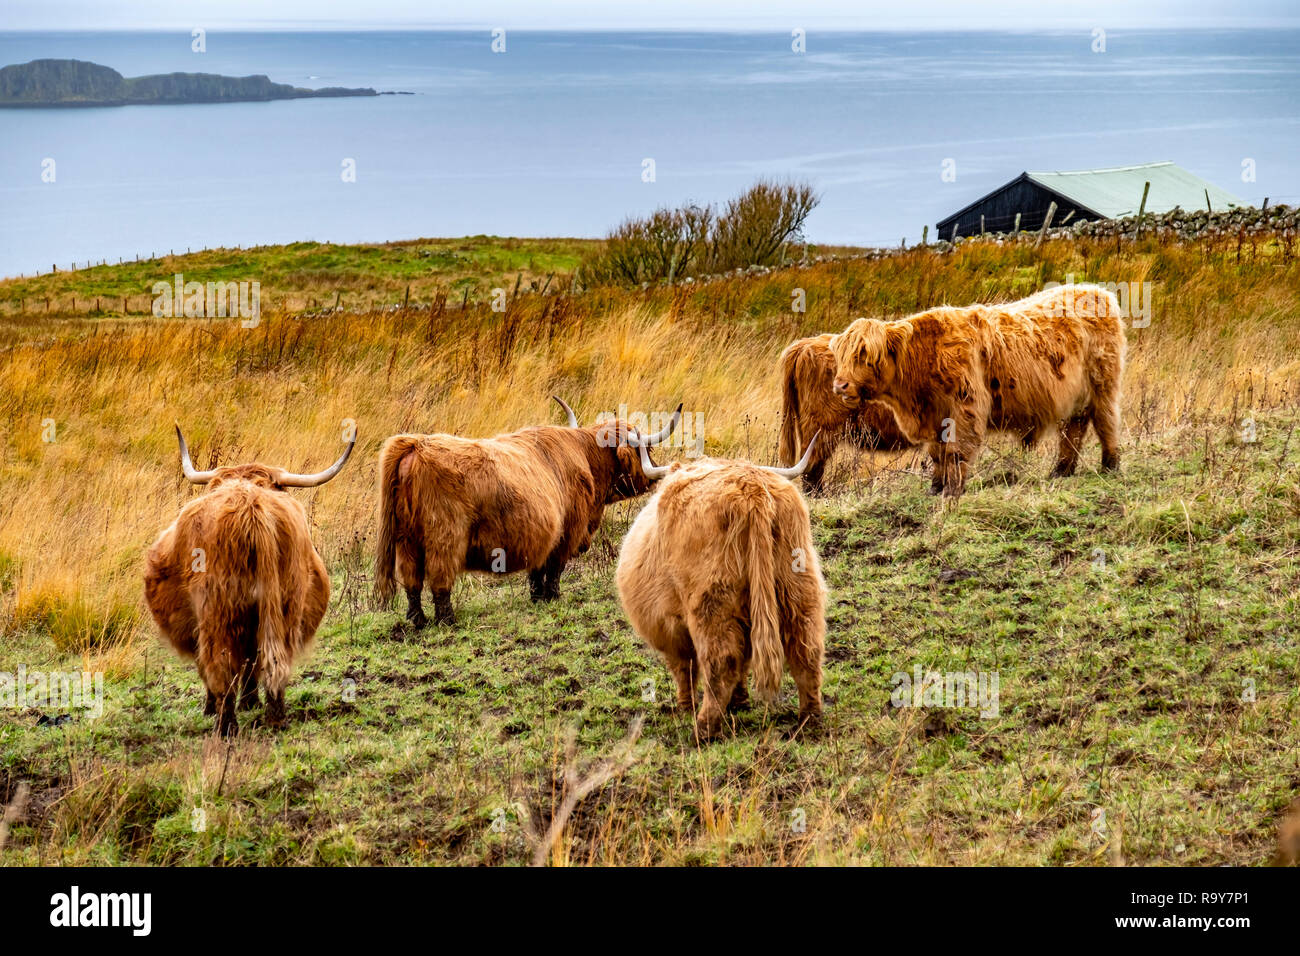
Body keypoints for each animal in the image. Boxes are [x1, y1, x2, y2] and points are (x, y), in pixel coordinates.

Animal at [144, 425, 355, 736]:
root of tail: (251, 508)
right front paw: (250, 702)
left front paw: (213, 707)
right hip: (285, 606)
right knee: (274, 659)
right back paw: (275, 717)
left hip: (217, 612)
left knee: (220, 662)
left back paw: (225, 726)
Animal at [374, 397, 681, 627]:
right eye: (646, 448)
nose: (655, 476)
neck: (584, 456)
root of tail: (415, 445)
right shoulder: (568, 530)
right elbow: (555, 568)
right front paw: (553, 597)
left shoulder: (541, 535)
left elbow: (537, 570)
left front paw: (537, 597)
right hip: (444, 537)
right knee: (439, 579)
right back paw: (447, 620)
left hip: (407, 541)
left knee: (411, 581)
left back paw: (418, 620)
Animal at [616, 434, 826, 741]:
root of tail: (752, 488)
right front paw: (739, 702)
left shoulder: (670, 626)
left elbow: (685, 667)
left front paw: (685, 706)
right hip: (798, 589)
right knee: (806, 651)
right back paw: (809, 720)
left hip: (710, 602)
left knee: (720, 661)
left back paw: (703, 729)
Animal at [830, 284, 1126, 498]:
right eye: (841, 356)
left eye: (865, 355)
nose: (839, 385)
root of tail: (1097, 291)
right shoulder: (935, 417)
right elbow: (937, 453)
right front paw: (935, 487)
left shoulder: (965, 407)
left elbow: (956, 451)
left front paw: (952, 490)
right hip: (1076, 399)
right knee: (1074, 428)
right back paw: (1062, 470)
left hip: (1103, 385)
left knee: (1106, 422)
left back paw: (1110, 465)